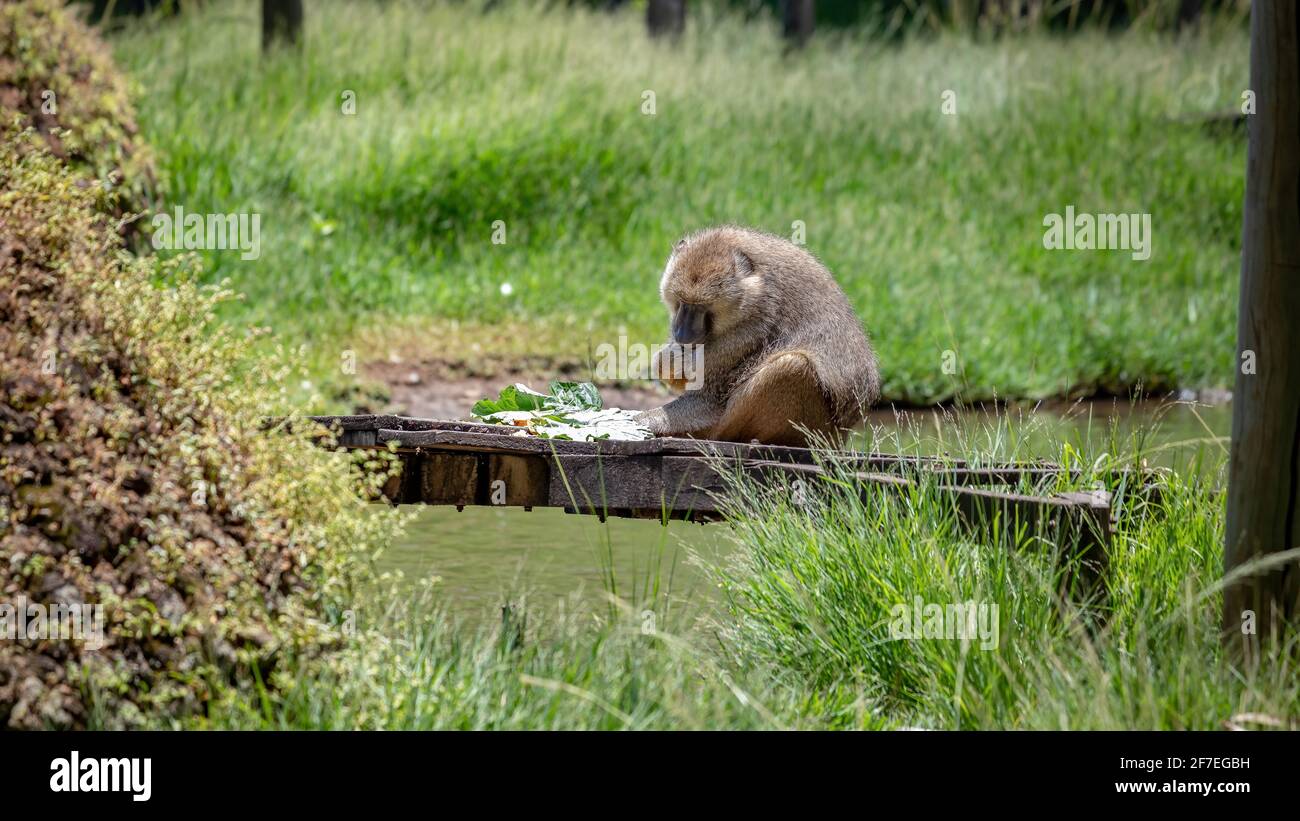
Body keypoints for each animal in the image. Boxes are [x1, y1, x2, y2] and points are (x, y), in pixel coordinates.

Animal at [634, 225, 880, 447]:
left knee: (792, 366)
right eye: (682, 303)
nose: (682, 333)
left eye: (702, 308)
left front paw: (640, 421)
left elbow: (707, 402)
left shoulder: (752, 327)